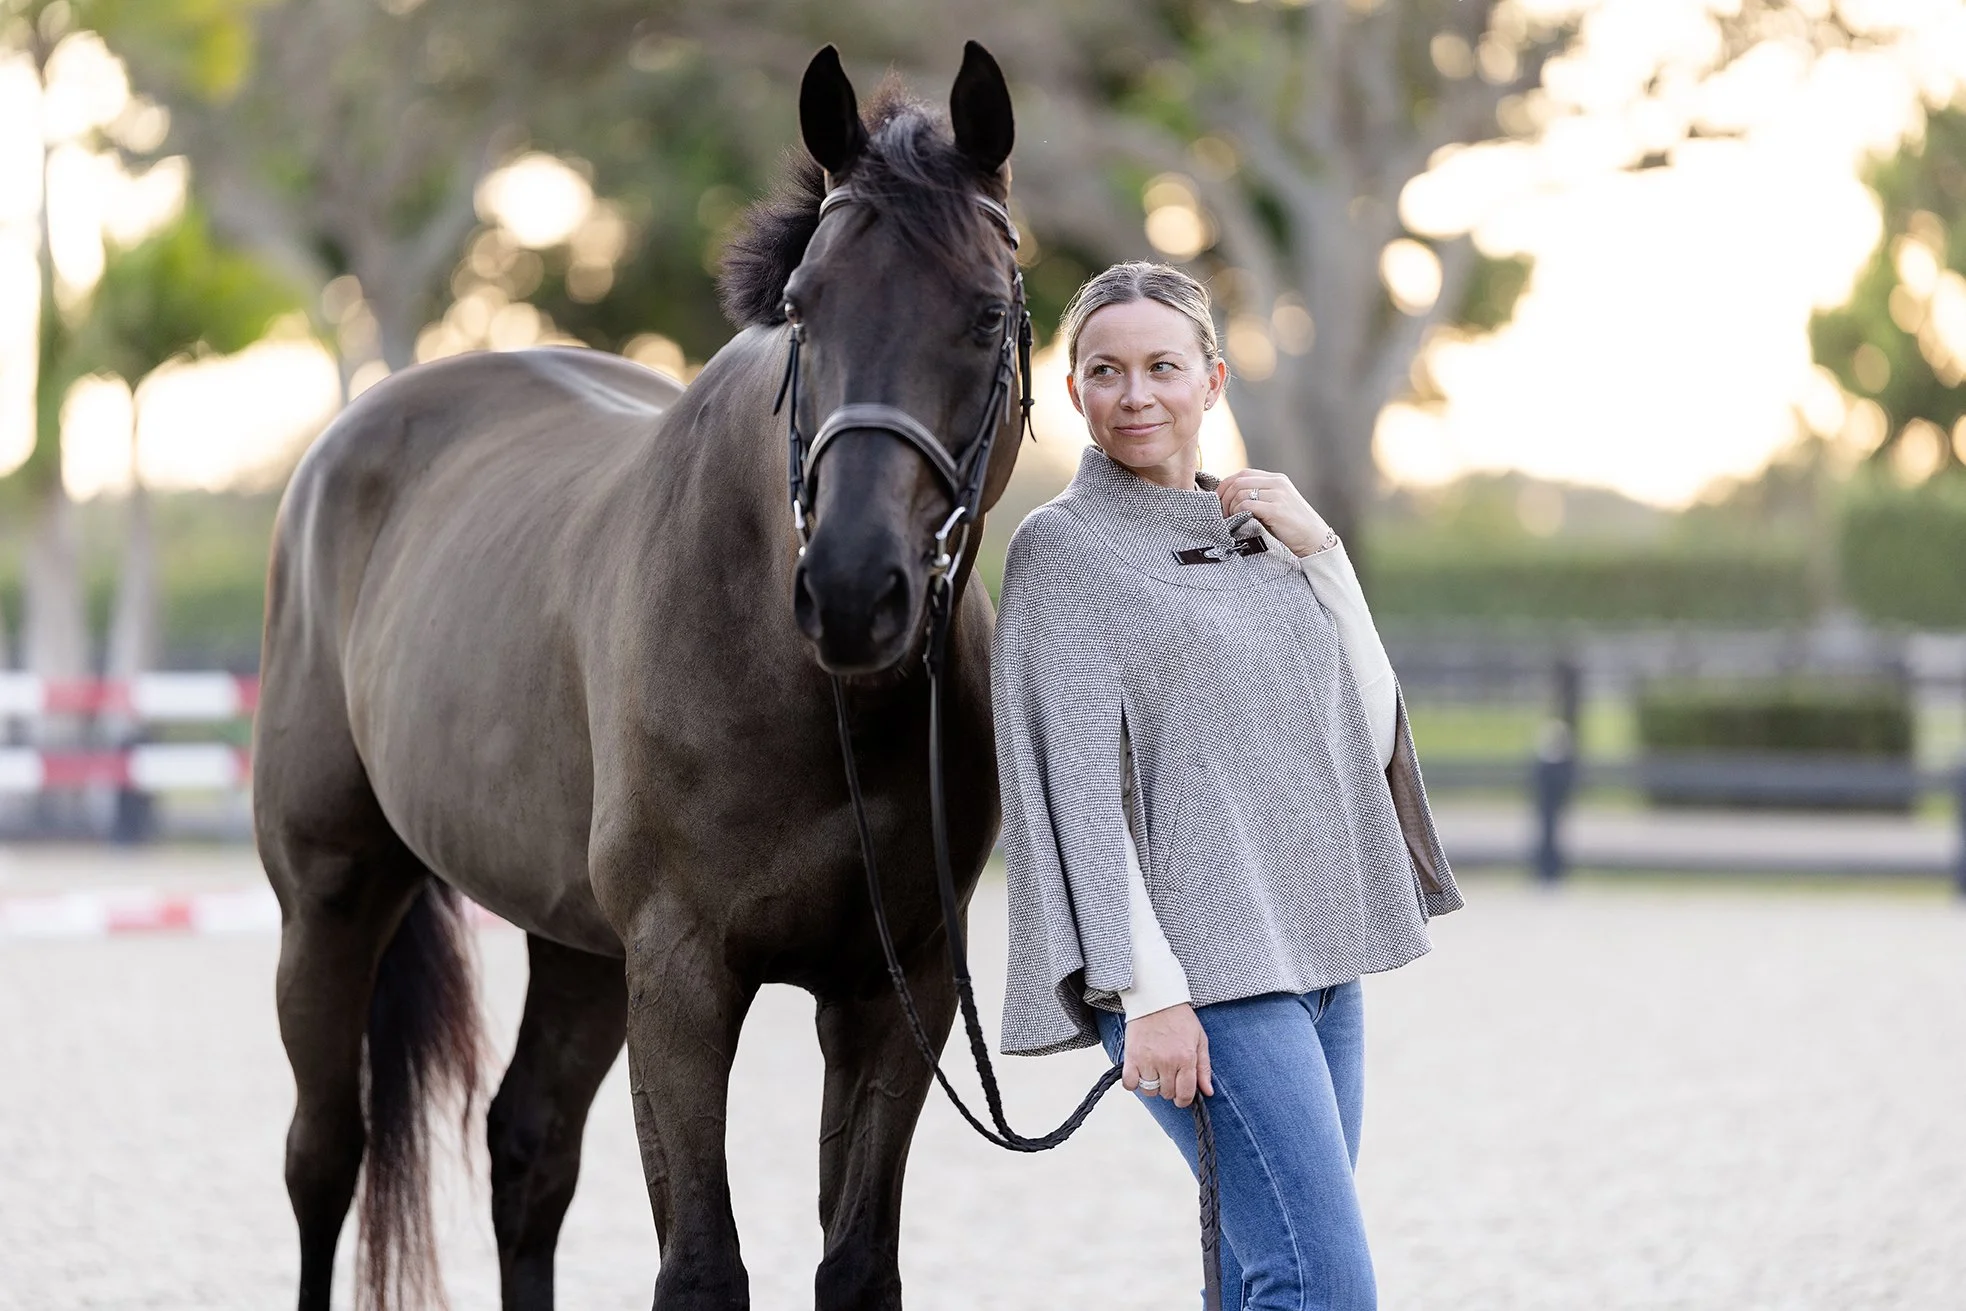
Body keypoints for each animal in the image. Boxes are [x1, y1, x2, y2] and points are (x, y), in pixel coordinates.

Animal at [254, 42, 1026, 1310]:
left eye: (987, 314)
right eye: (803, 308)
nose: (852, 591)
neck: (819, 705)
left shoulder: (891, 989)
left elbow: (856, 1265)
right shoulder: (681, 976)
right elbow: (703, 1267)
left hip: (574, 945)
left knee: (526, 1151)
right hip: (330, 895)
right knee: (325, 1157)